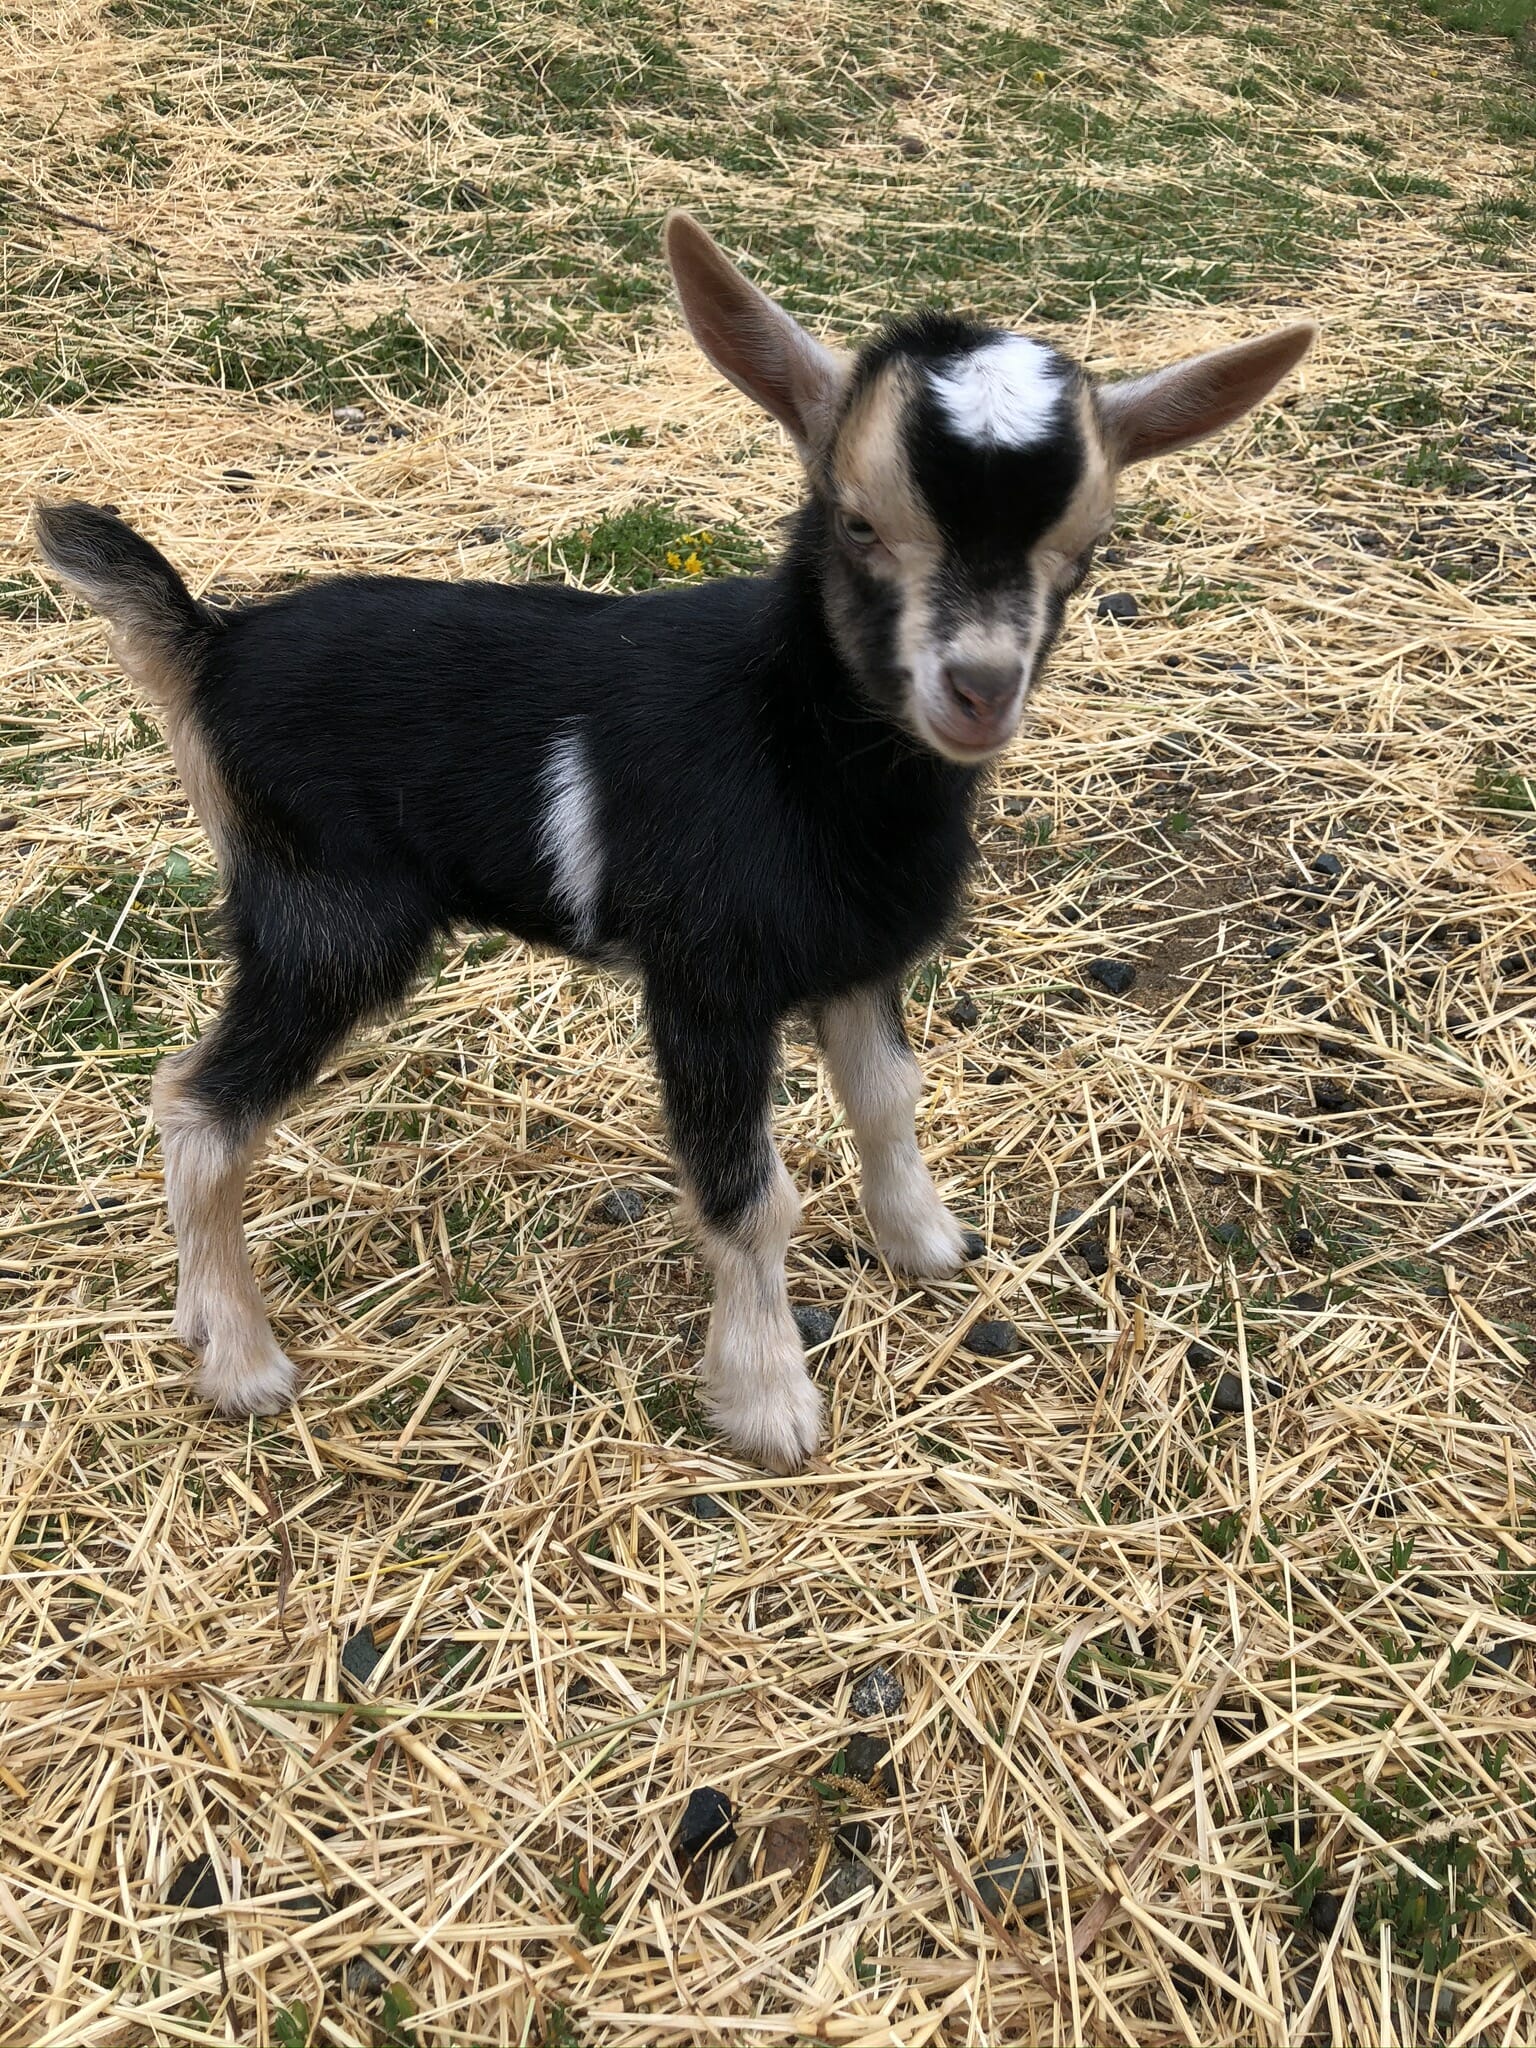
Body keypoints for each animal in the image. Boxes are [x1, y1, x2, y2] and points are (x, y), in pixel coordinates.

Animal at [33, 214, 1314, 1472]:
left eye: (1087, 549)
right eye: (858, 520)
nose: (979, 690)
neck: (792, 739)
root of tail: (210, 643)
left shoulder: (859, 956)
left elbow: (889, 1098)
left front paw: (925, 1242)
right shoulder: (705, 980)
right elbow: (750, 1192)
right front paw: (767, 1401)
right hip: (327, 915)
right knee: (197, 1107)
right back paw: (243, 1363)